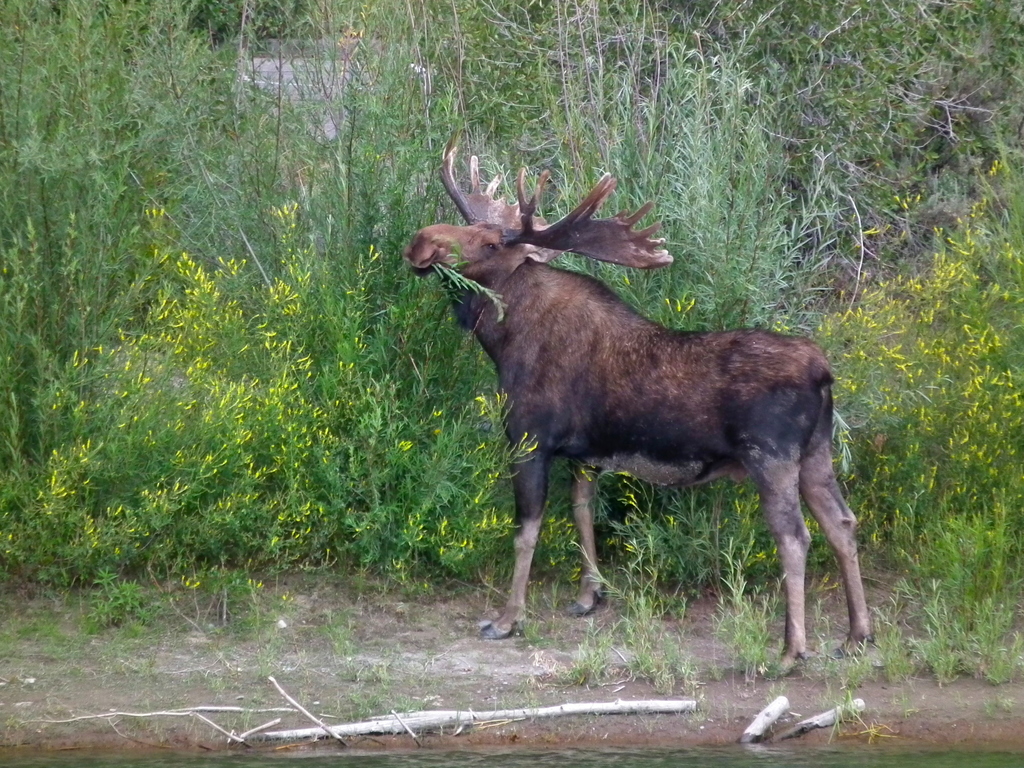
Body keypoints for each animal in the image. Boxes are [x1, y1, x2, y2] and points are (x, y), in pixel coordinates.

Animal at [402, 139, 873, 667]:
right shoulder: (586, 453)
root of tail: (822, 371)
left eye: (490, 243)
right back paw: (857, 634)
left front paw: (507, 620)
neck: (502, 341)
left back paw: (792, 650)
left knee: (795, 537)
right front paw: (590, 596)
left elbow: (527, 531)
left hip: (771, 456)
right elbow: (582, 512)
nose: (420, 241)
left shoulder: (529, 438)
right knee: (842, 523)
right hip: (817, 451)